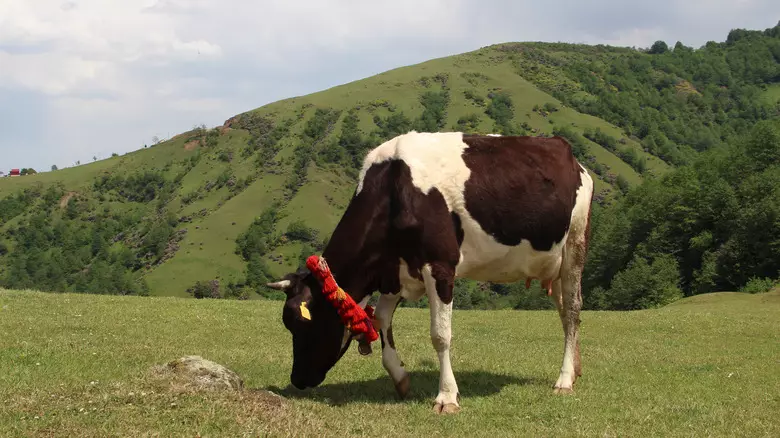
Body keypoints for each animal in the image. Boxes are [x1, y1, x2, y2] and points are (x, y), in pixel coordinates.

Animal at [266, 130, 596, 414]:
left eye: (303, 323)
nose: (297, 380)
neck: (394, 190)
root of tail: (569, 155)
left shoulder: (439, 265)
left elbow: (440, 335)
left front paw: (447, 397)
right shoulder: (395, 271)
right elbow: (381, 319)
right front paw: (400, 378)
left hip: (575, 246)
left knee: (573, 311)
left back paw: (564, 380)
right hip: (553, 265)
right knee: (564, 312)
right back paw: (576, 370)